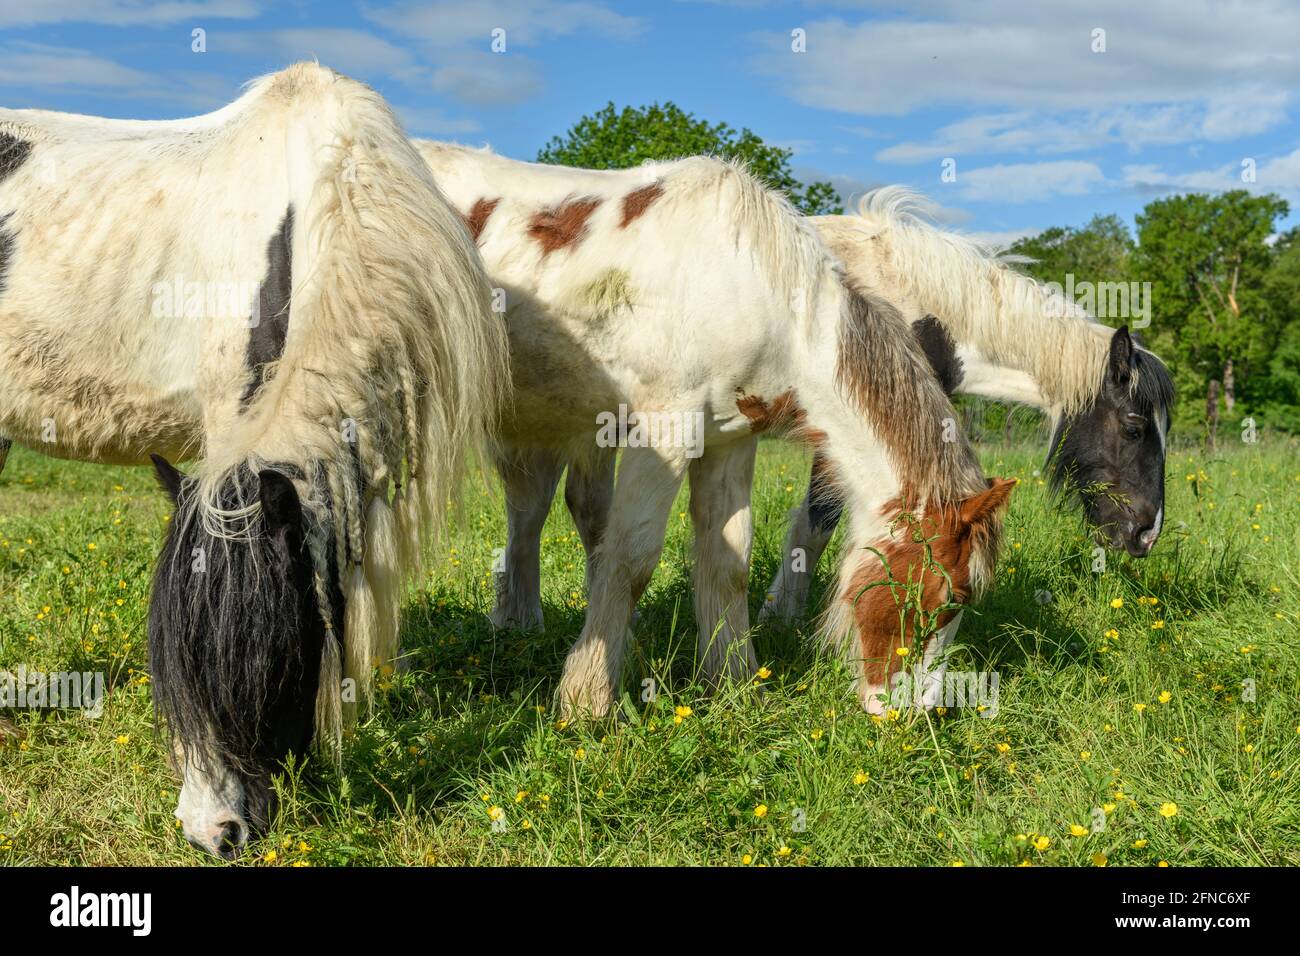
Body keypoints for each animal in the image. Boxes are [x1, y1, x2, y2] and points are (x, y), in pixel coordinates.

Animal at [416, 141, 1013, 720]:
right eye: (947, 598)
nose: (912, 711)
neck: (749, 288)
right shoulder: (663, 429)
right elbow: (631, 558)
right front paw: (588, 701)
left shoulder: (729, 440)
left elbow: (728, 562)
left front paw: (733, 682)